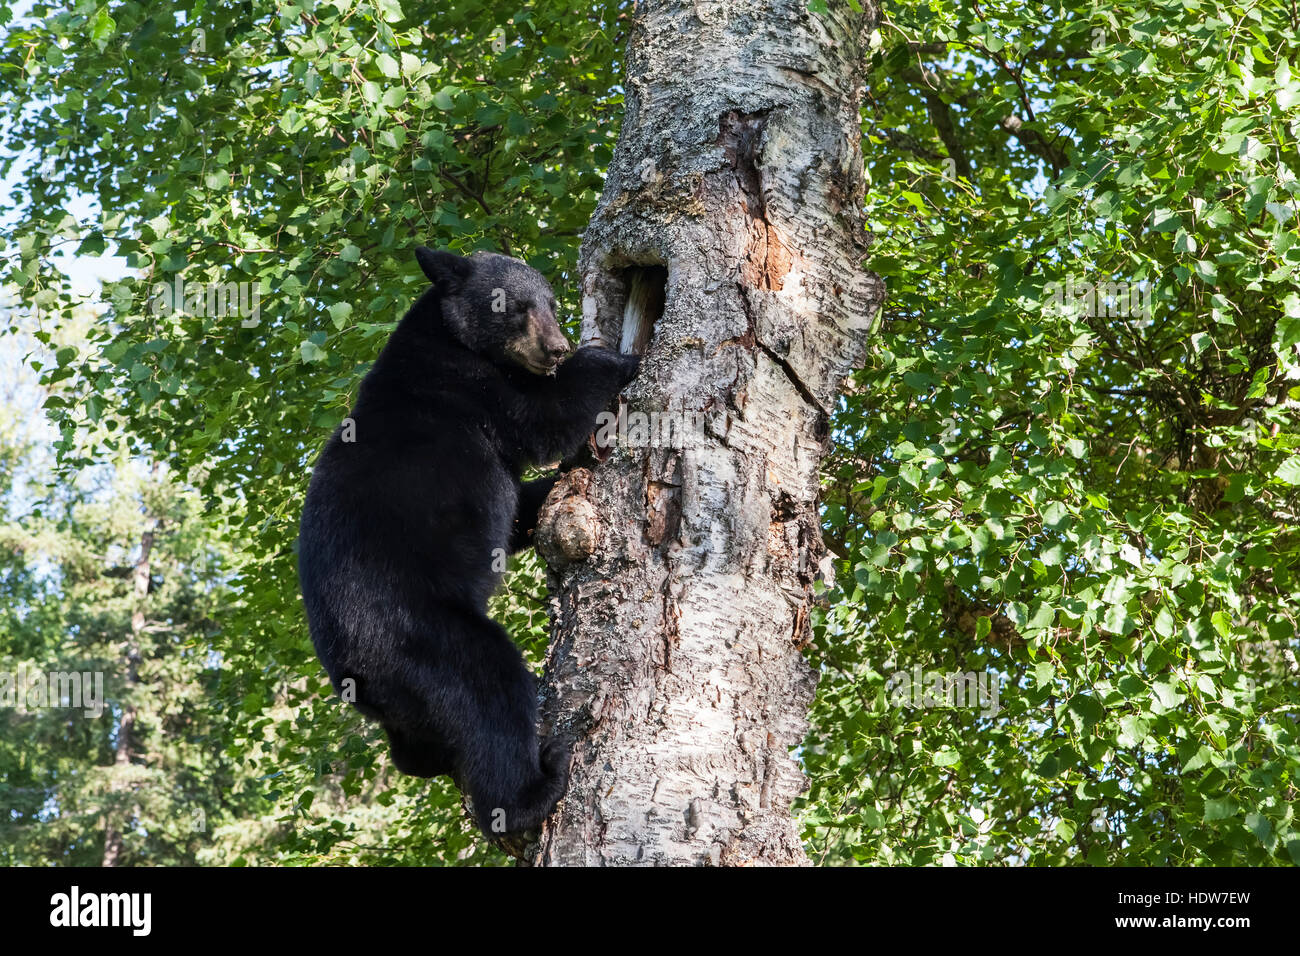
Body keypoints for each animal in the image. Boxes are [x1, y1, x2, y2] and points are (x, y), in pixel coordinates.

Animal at [297, 247, 640, 835]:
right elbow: (542, 421)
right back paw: (533, 789)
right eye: (517, 307)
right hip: (419, 635)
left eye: (551, 303)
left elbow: (521, 509)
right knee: (489, 689)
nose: (556, 347)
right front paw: (610, 360)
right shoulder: (469, 389)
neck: (445, 338)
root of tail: (349, 672)